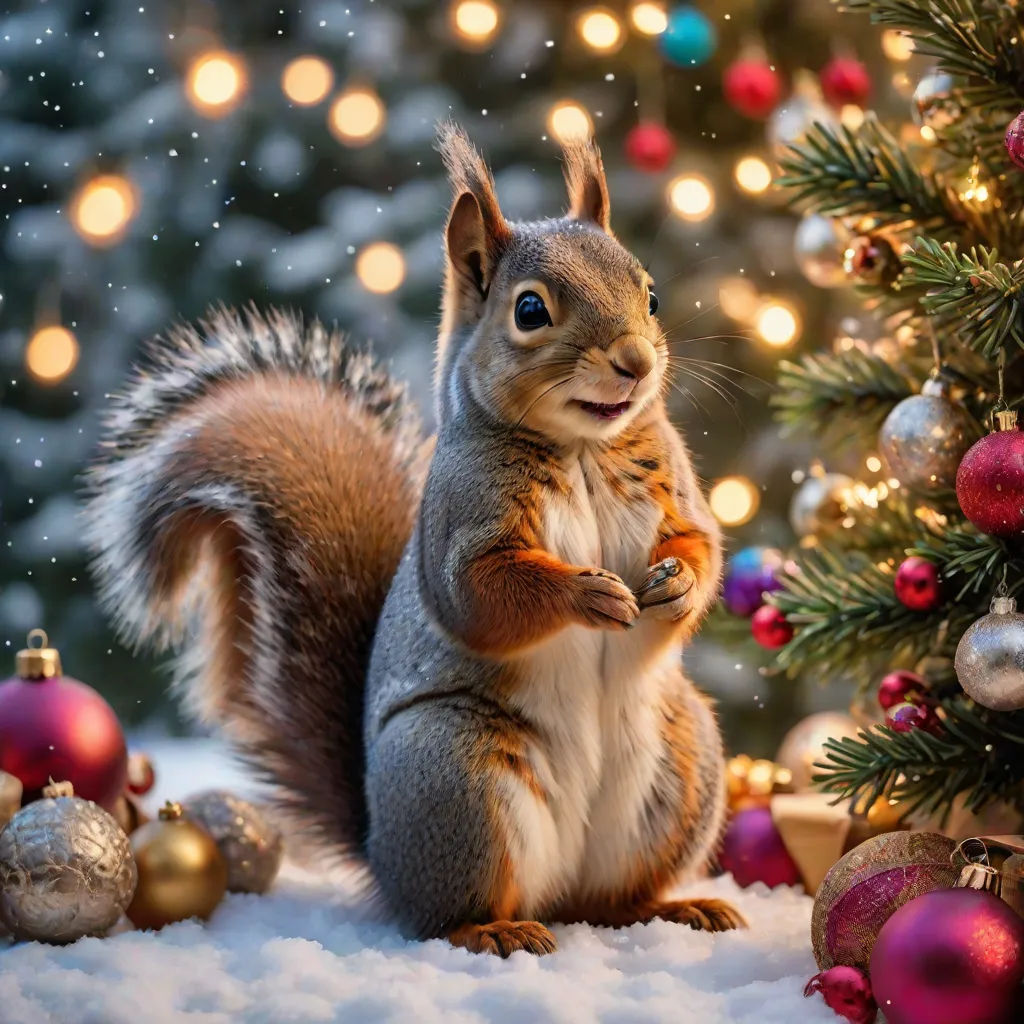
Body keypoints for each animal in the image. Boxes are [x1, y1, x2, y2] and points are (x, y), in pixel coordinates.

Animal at [85, 123, 744, 957]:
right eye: (531, 309)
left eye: (650, 294)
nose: (635, 362)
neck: (585, 449)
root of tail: (379, 852)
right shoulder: (462, 524)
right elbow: (481, 595)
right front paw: (587, 592)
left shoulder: (674, 495)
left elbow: (702, 544)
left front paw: (677, 584)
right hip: (456, 774)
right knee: (444, 916)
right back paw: (494, 929)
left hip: (683, 761)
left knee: (611, 900)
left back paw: (677, 909)